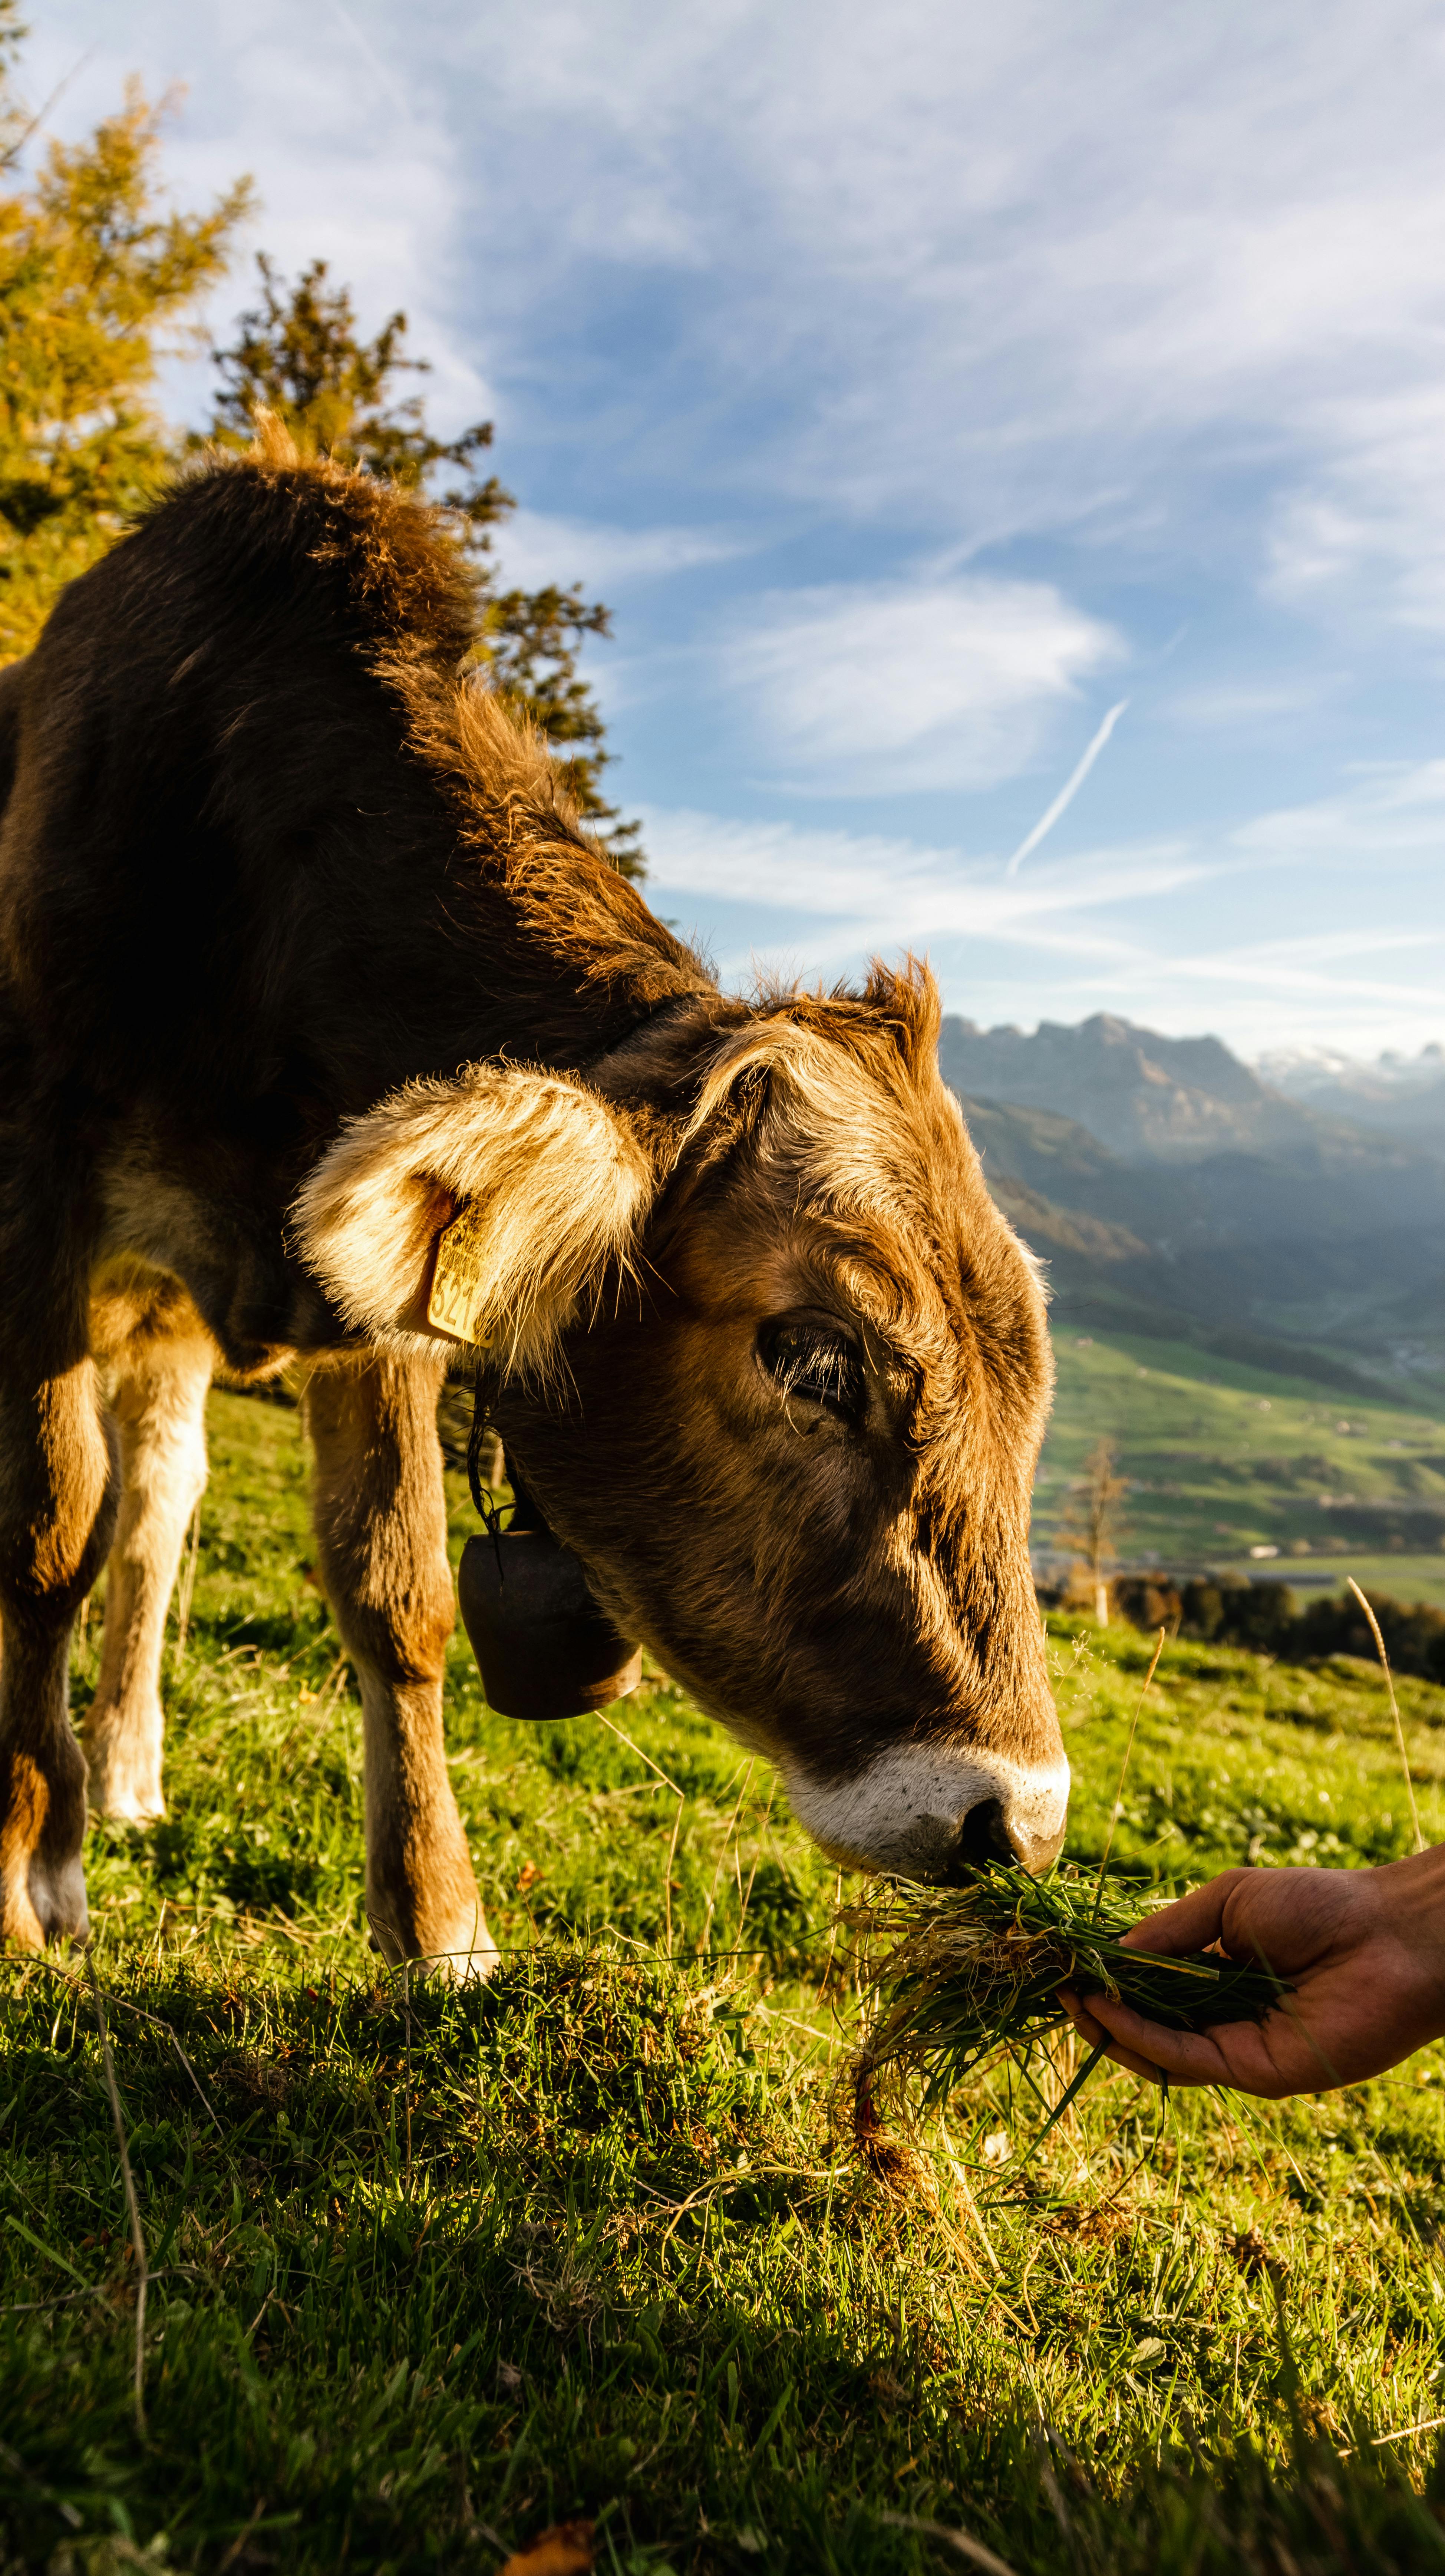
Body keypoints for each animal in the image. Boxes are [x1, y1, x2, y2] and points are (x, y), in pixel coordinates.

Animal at [0, 423, 1068, 1973]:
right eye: (814, 1358)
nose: (1017, 1819)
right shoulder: (39, 1178)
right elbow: (45, 1528)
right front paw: (27, 1866)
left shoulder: (362, 1298)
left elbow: (393, 1582)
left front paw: (440, 1923)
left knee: (160, 1495)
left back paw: (130, 1767)